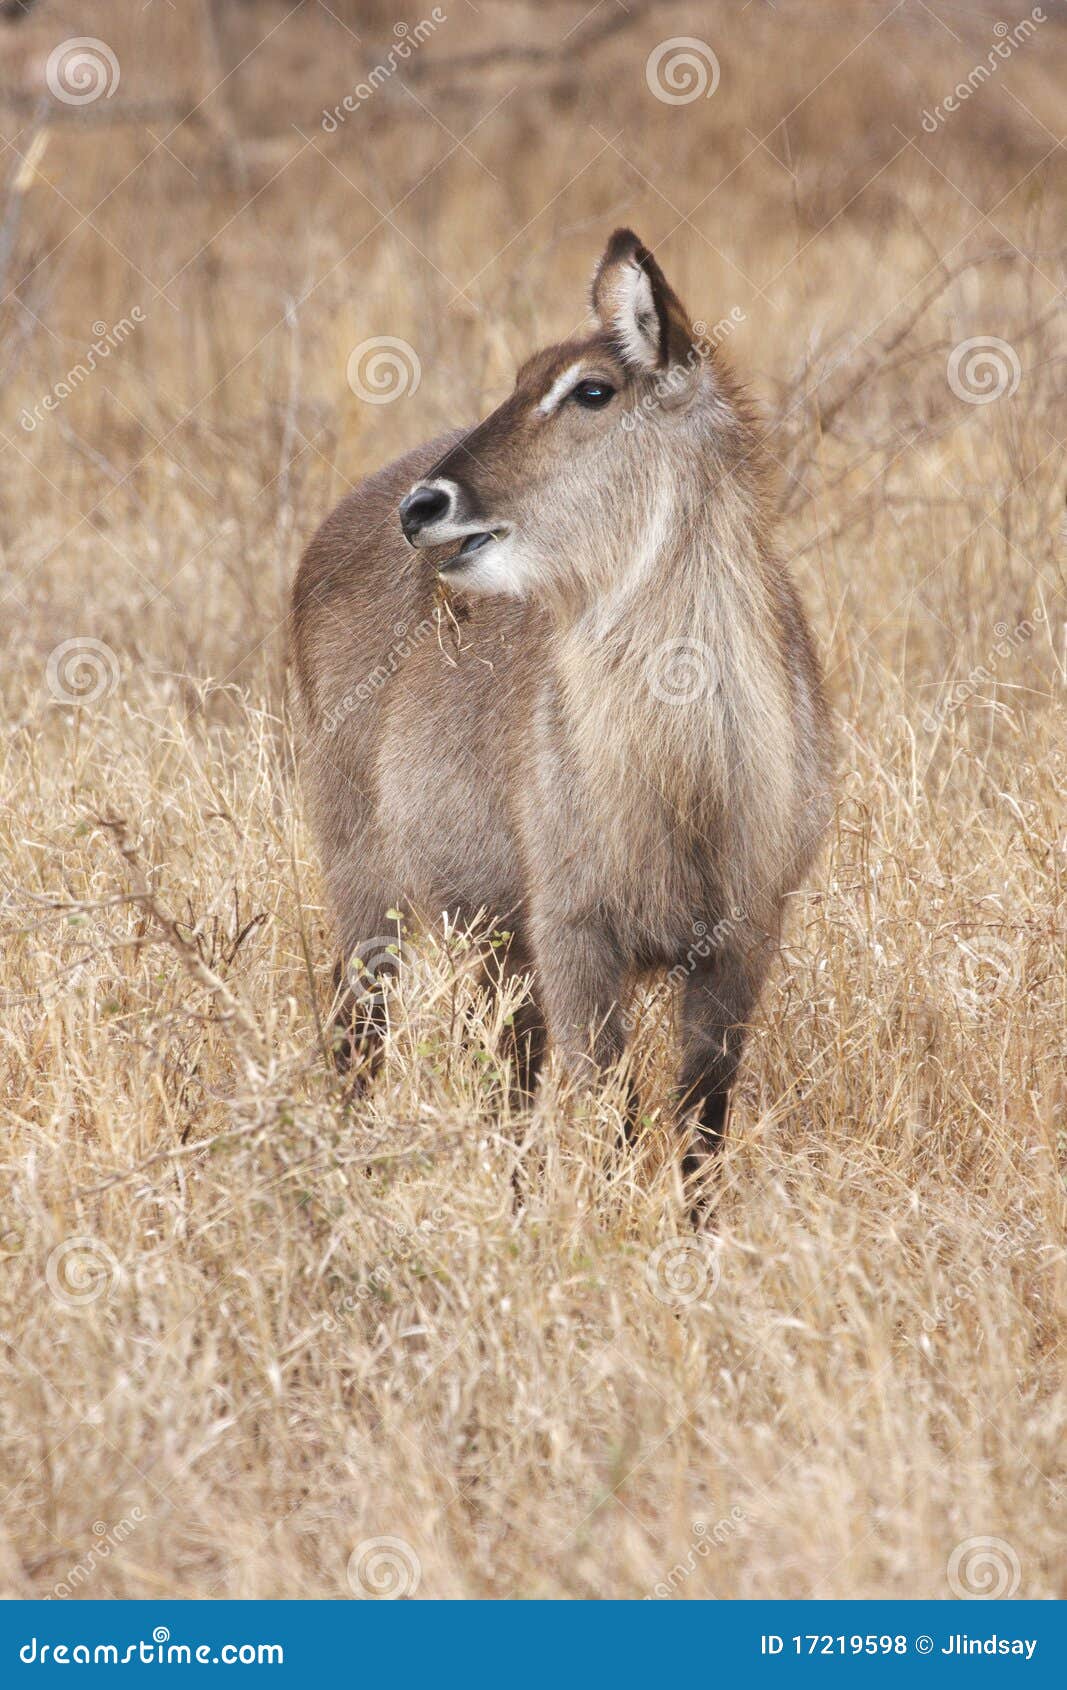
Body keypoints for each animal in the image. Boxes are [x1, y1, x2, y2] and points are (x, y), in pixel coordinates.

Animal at [290, 230, 834, 1188]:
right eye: (517, 379)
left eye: (590, 389)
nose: (423, 506)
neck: (684, 775)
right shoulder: (575, 933)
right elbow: (613, 1111)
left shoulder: (744, 939)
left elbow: (700, 1126)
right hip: (368, 886)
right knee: (362, 1033)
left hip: (492, 937)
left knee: (502, 1071)